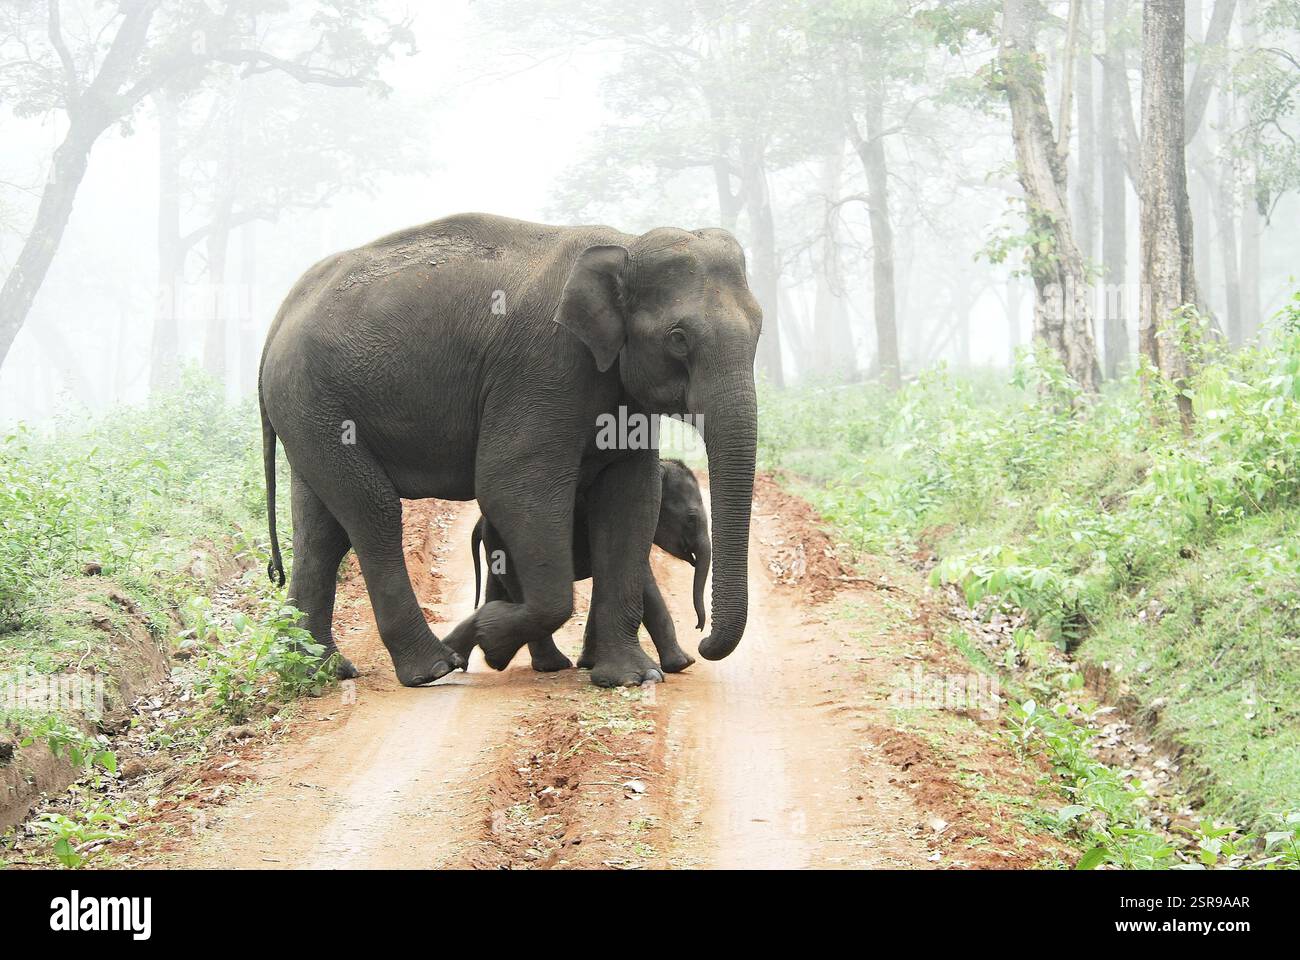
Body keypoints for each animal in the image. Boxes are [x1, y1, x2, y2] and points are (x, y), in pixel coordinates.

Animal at [472, 458, 710, 674]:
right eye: (691, 519)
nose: (698, 628)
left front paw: (588, 663)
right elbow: (642, 579)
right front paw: (684, 664)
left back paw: (492, 657)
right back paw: (549, 665)